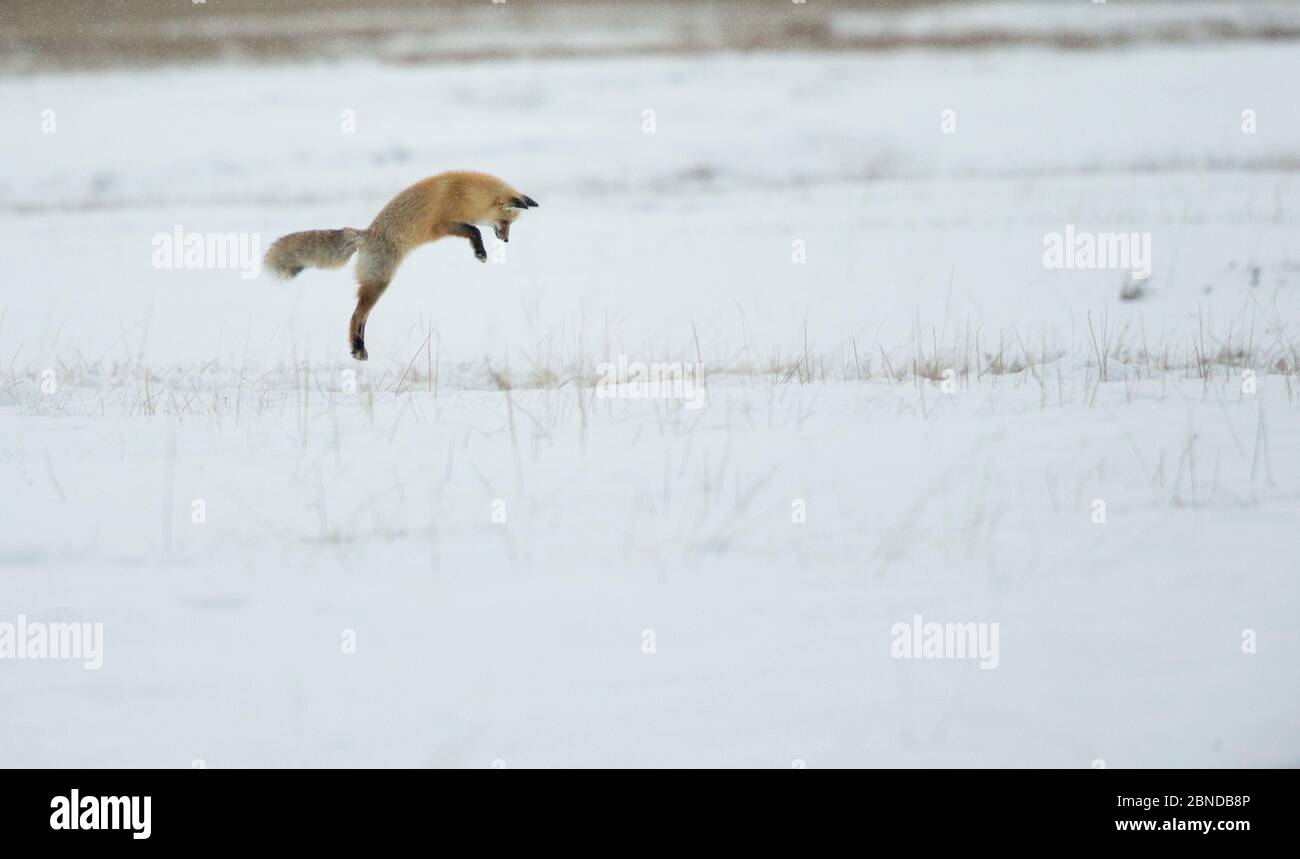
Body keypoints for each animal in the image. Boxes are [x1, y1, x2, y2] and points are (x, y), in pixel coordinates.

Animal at [264, 171, 539, 360]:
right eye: (505, 222)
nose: (506, 240)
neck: (465, 192)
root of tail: (366, 234)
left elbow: (473, 229)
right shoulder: (441, 225)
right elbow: (473, 230)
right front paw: (480, 251)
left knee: (360, 316)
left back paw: (358, 348)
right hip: (380, 282)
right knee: (356, 315)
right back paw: (357, 349)